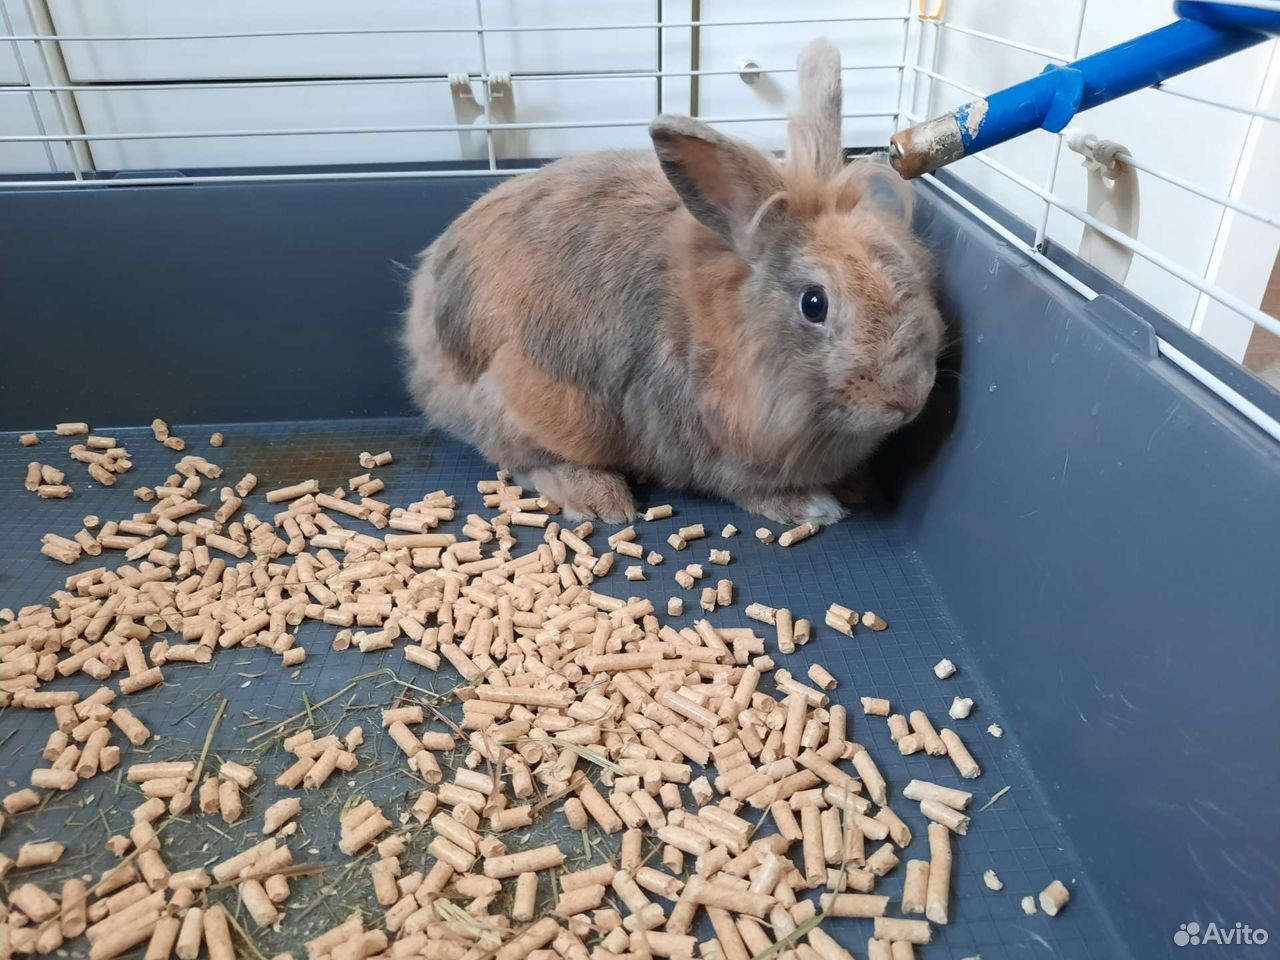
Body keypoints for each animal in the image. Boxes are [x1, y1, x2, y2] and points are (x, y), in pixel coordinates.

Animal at [403, 38, 943, 524]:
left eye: (913, 273)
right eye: (815, 303)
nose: (909, 399)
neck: (717, 334)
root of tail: (427, 311)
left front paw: (855, 485)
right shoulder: (711, 451)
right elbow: (749, 489)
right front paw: (812, 505)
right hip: (522, 405)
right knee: (523, 459)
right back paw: (599, 497)